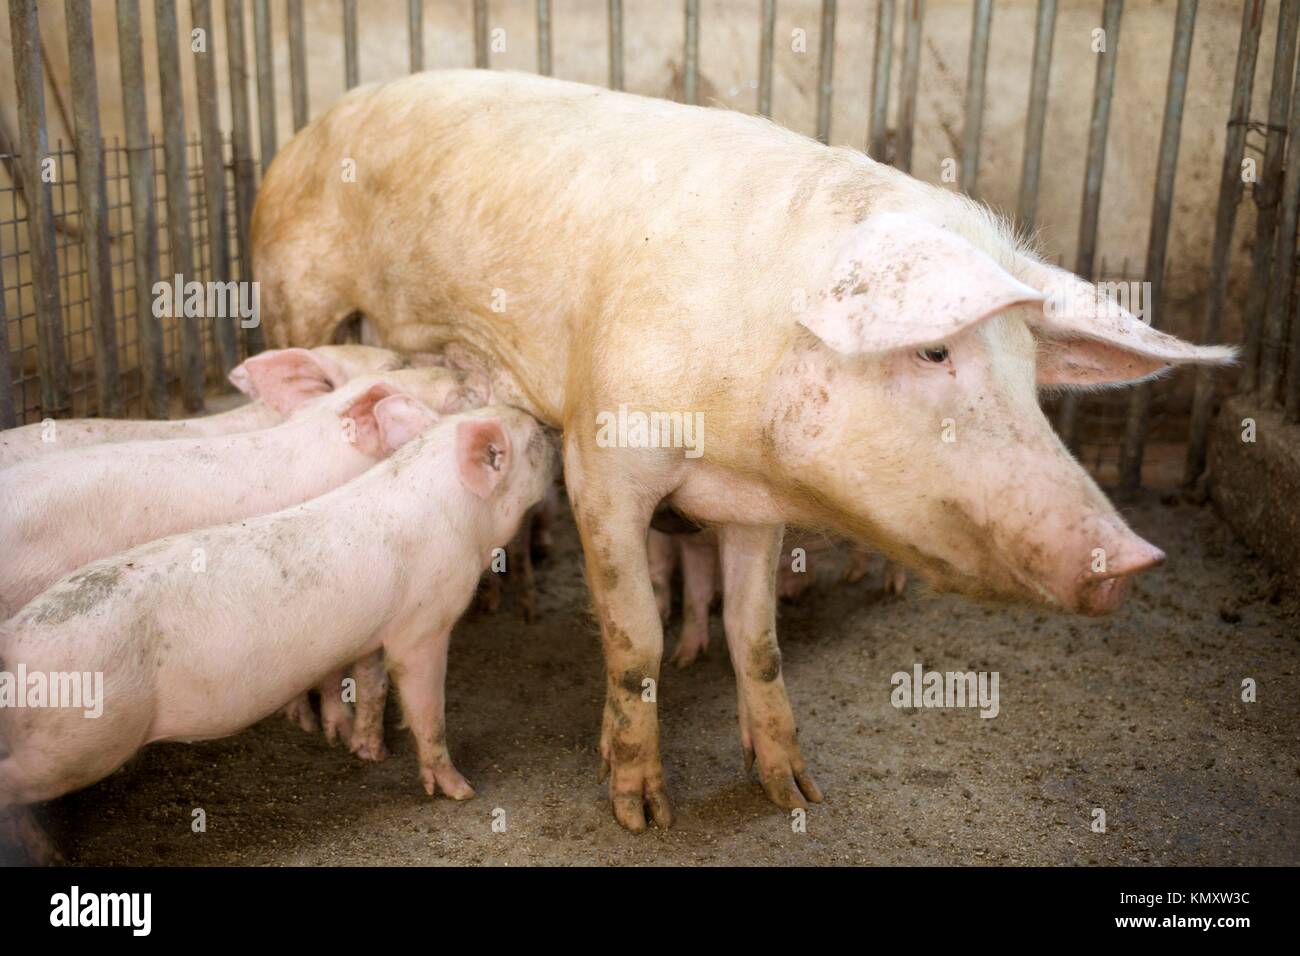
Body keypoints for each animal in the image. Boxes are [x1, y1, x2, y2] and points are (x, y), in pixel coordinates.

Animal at [0, 403, 554, 861]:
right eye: (533, 441)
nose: (554, 426)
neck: (458, 514)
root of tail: (15, 640)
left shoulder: (375, 633)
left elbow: (371, 685)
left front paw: (368, 750)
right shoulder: (423, 624)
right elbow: (426, 708)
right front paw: (462, 791)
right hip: (83, 737)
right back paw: (48, 853)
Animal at [251, 70, 1234, 831]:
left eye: (1030, 372)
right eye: (933, 351)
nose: (1133, 557)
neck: (735, 425)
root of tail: (310, 126)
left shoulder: (754, 505)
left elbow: (755, 640)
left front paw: (794, 793)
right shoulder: (603, 465)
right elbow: (636, 638)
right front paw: (642, 812)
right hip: (292, 292)